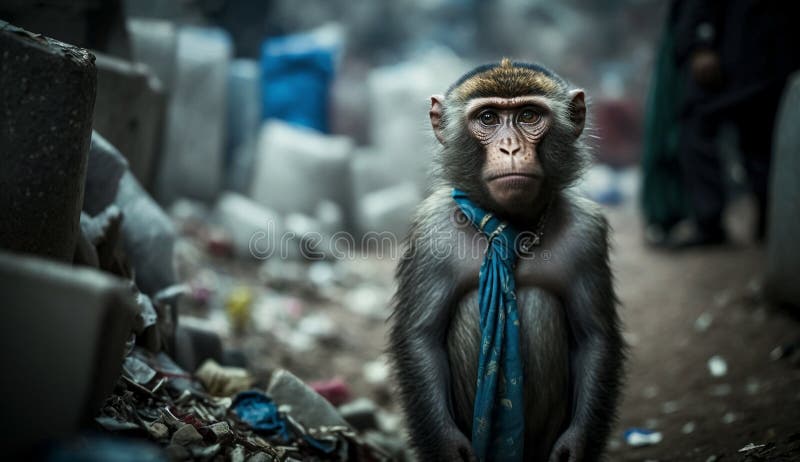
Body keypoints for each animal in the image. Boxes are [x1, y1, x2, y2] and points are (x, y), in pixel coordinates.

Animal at [387, 59, 625, 462]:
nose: (510, 147)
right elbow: (421, 338)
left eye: (528, 115)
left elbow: (594, 337)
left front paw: (574, 444)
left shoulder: (587, 234)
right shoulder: (430, 234)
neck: (508, 228)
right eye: (488, 118)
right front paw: (449, 447)